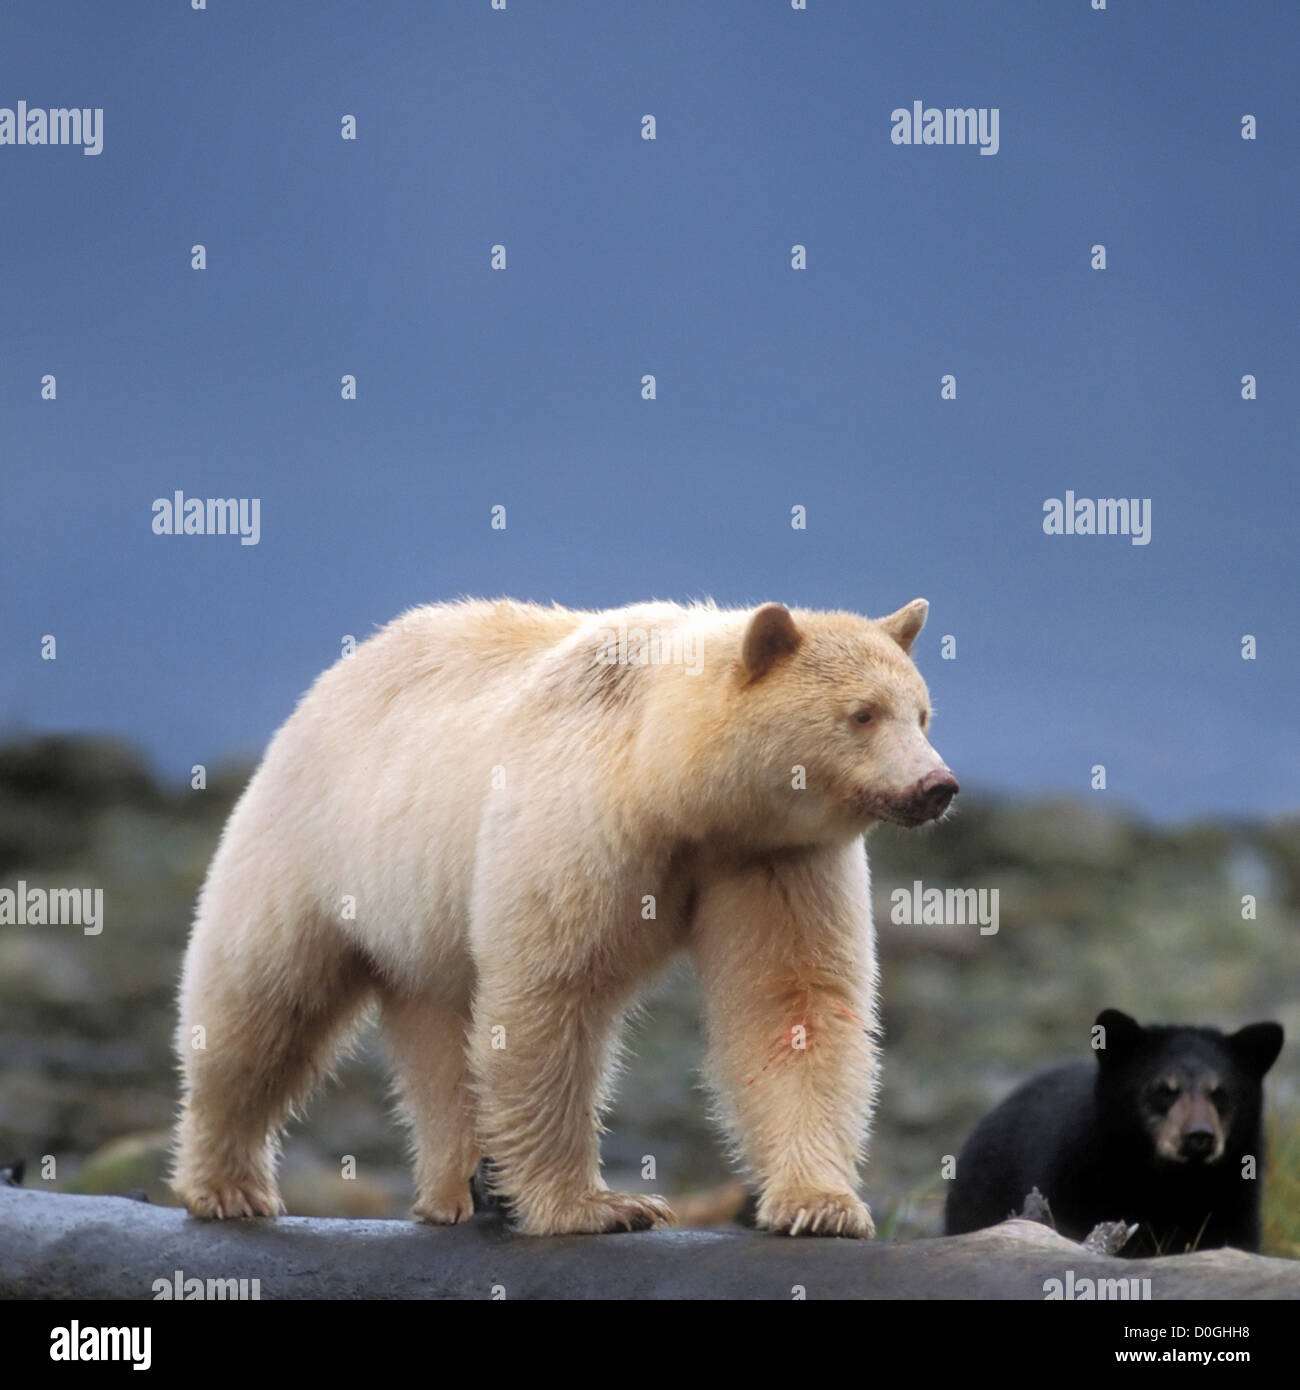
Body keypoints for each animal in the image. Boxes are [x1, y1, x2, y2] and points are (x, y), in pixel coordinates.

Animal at [171, 596, 958, 1237]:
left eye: (921, 712)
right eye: (863, 713)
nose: (937, 785)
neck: (670, 780)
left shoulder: (773, 856)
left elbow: (792, 1002)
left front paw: (820, 1204)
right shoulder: (582, 818)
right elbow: (551, 991)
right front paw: (596, 1206)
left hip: (422, 918)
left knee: (438, 1038)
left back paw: (454, 1191)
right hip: (313, 848)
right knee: (262, 1002)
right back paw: (228, 1185)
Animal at [944, 1008, 1285, 1255]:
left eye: (1220, 1093)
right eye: (1163, 1090)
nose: (1199, 1136)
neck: (1173, 1184)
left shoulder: (1235, 1200)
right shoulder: (1073, 1180)